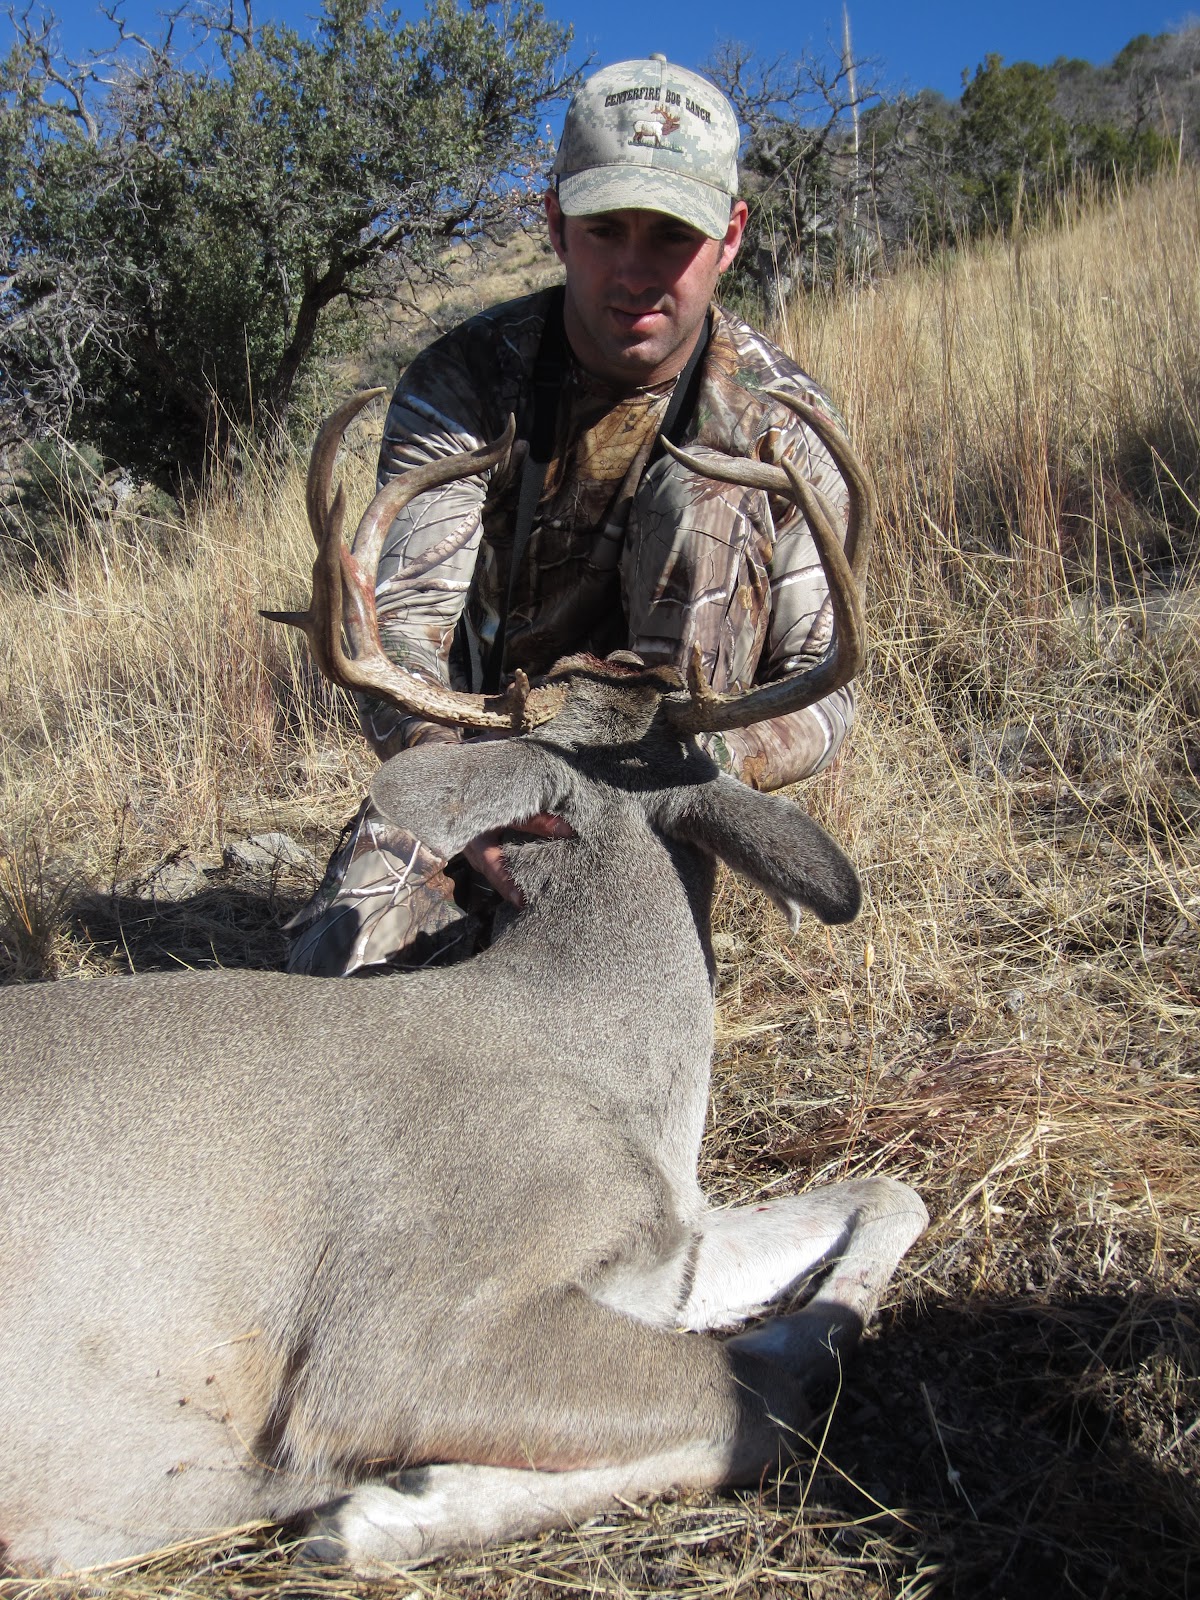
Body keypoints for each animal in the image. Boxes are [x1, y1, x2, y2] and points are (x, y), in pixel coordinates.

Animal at [0, 391, 927, 1579]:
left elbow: (886, 1200)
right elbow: (759, 1400)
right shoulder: (398, 1325)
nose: (622, 655)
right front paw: (383, 1512)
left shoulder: (666, 1252)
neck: (597, 1062)